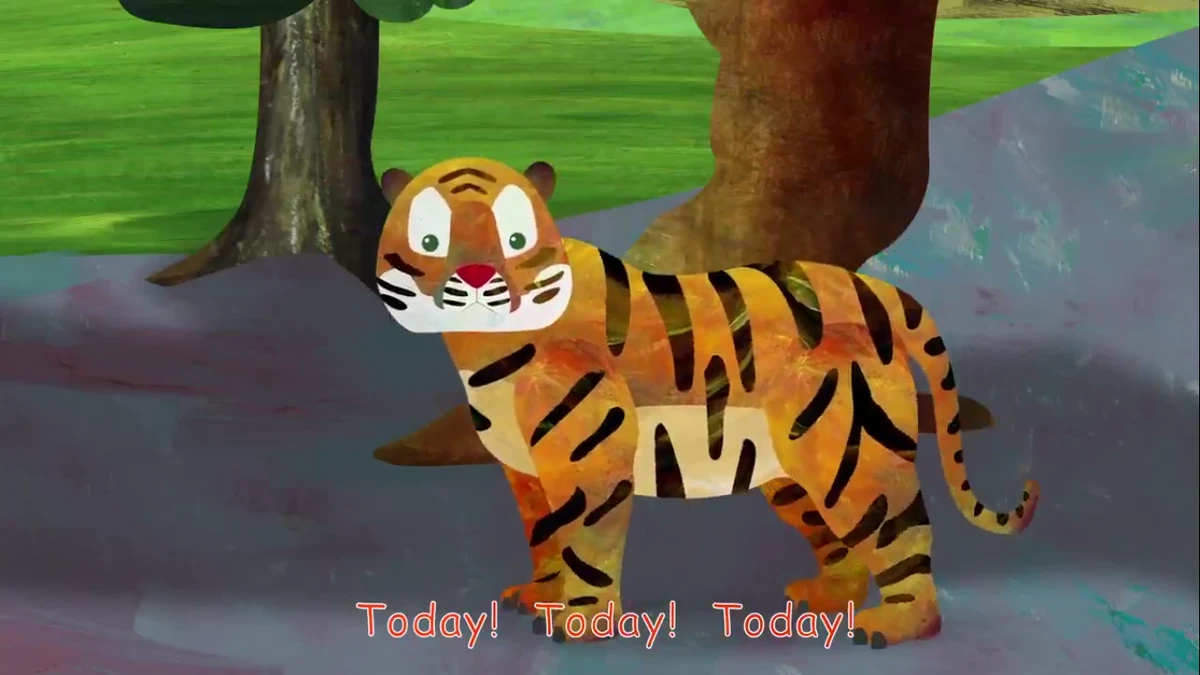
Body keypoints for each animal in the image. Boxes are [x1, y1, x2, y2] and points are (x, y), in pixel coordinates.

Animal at [373, 157, 1040, 649]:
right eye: (431, 239)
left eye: (516, 239)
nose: (477, 277)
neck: (482, 346)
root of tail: (866, 286)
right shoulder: (526, 472)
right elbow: (545, 539)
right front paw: (539, 597)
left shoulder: (588, 466)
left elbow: (585, 546)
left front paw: (579, 624)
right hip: (798, 471)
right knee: (844, 545)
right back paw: (827, 600)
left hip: (852, 463)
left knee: (901, 535)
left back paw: (897, 625)